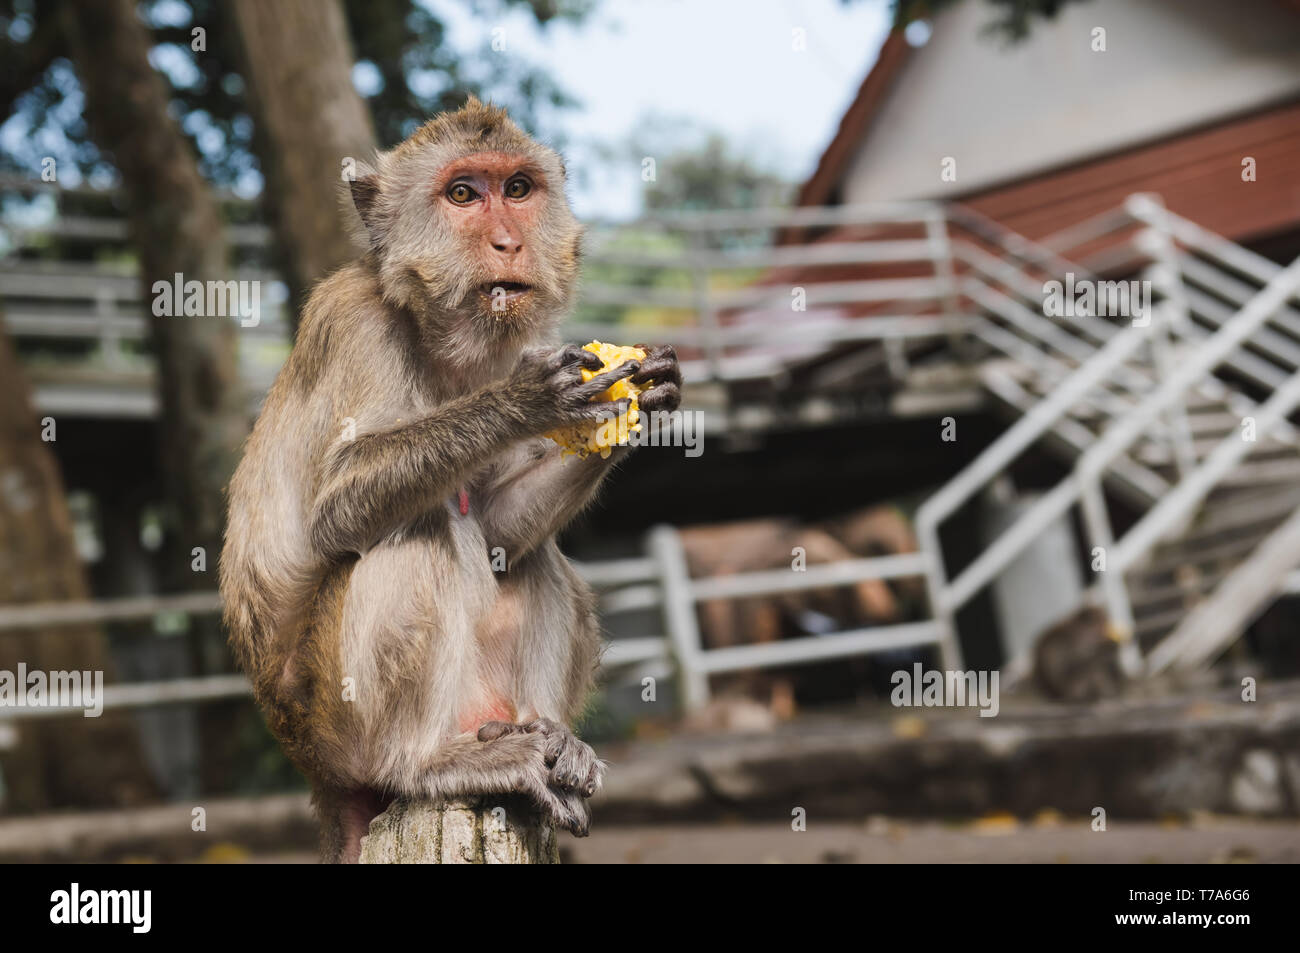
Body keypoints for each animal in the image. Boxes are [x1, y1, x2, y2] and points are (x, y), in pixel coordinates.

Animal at [218, 97, 682, 863]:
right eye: (463, 194)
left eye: (517, 189)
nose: (507, 242)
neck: (436, 336)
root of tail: (312, 771)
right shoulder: (354, 322)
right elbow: (339, 505)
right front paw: (528, 401)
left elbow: (499, 527)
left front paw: (639, 401)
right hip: (332, 720)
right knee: (422, 531)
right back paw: (423, 763)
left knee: (526, 557)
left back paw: (549, 738)